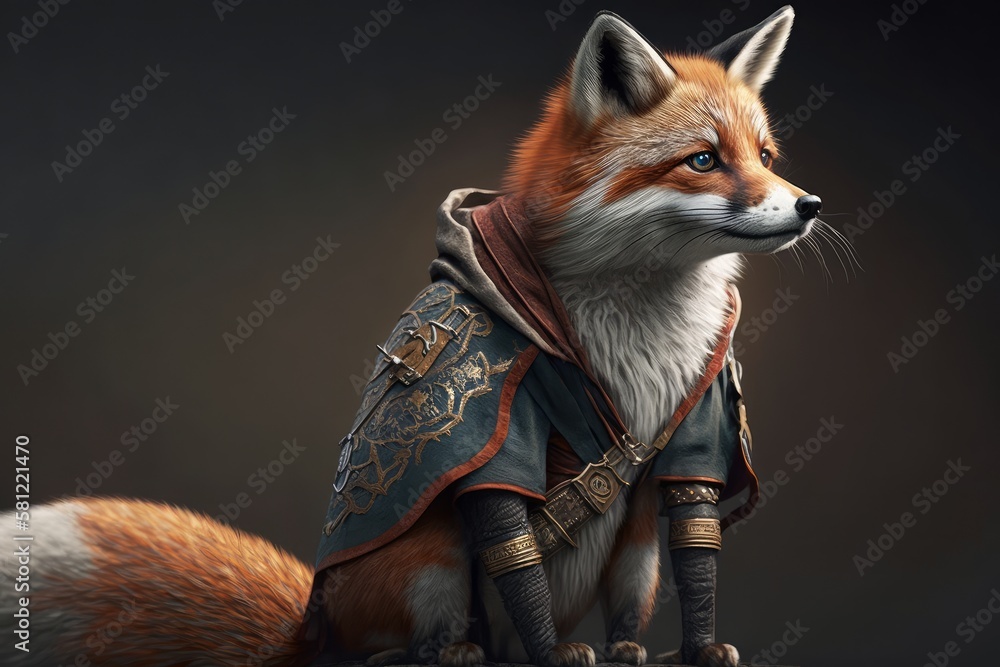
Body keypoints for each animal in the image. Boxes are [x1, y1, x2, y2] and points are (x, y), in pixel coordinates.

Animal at [1, 7, 829, 667]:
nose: (810, 206)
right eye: (703, 160)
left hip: (632, 537)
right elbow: (511, 542)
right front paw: (553, 654)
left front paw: (687, 648)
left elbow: (691, 541)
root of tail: (313, 631)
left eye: (764, 157)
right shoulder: (491, 432)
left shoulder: (693, 431)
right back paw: (447, 650)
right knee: (400, 647)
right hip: (430, 558)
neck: (638, 338)